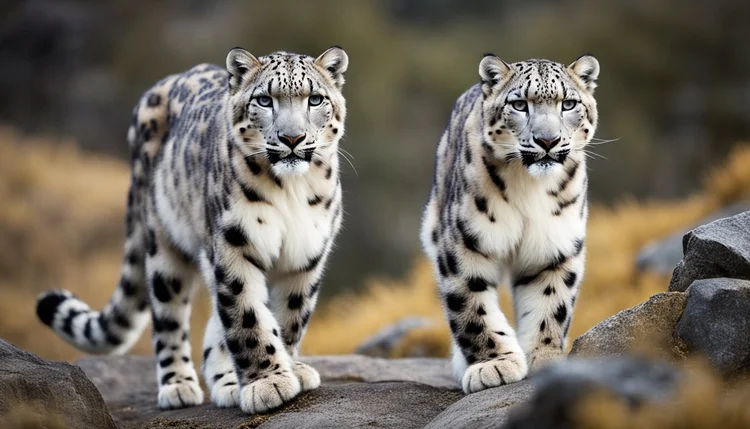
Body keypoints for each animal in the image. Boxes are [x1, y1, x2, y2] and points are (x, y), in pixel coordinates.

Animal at [35, 46, 349, 414]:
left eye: (315, 99)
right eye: (264, 100)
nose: (292, 138)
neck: (291, 189)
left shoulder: (307, 253)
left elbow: (291, 316)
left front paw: (289, 368)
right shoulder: (233, 243)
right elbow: (247, 317)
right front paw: (268, 383)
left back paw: (227, 384)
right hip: (163, 245)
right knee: (168, 319)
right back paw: (178, 387)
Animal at [420, 53, 600, 393]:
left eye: (568, 104)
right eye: (519, 104)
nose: (547, 140)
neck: (529, 188)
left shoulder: (556, 248)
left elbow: (551, 304)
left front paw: (545, 358)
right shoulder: (463, 245)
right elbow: (473, 307)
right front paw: (494, 365)